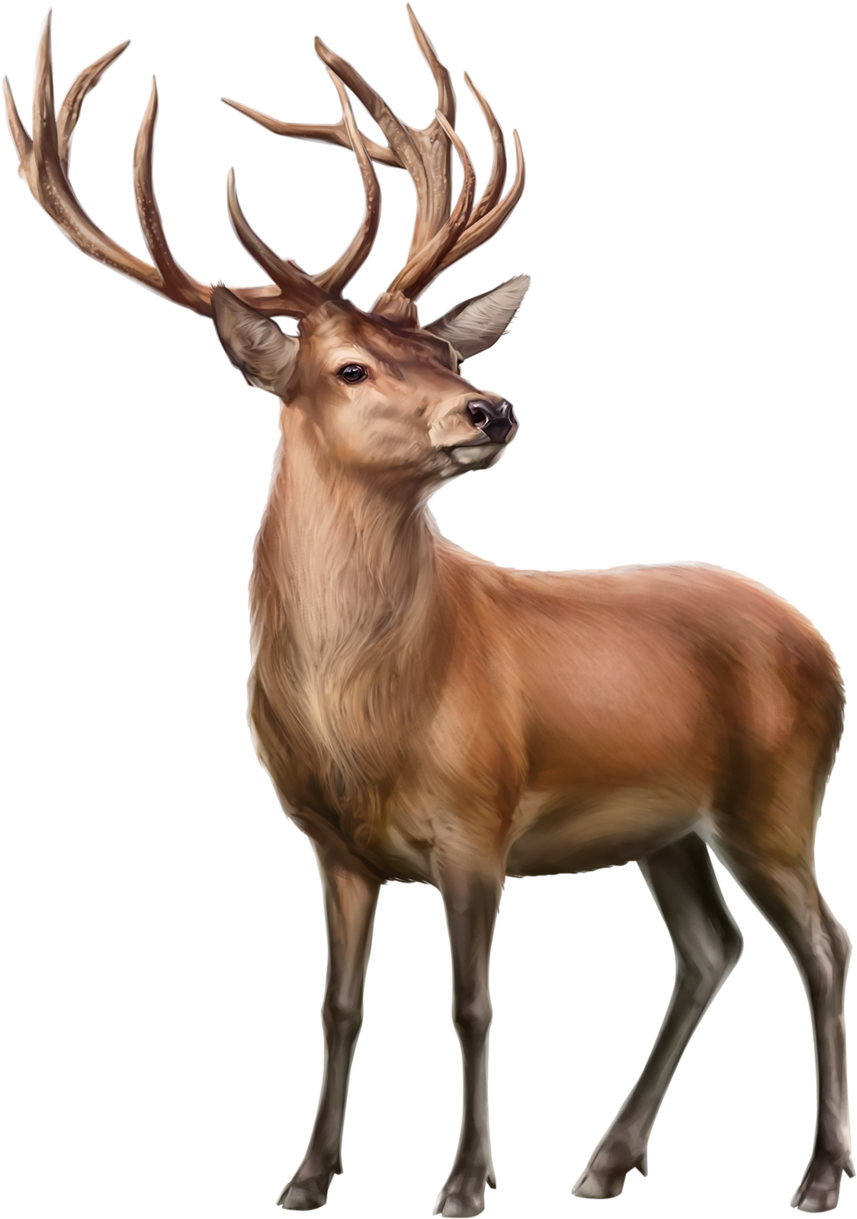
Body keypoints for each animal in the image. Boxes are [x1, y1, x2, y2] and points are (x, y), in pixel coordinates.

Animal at [5, 6, 851, 1216]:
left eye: (448, 350)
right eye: (351, 369)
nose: (489, 407)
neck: (365, 715)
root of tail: (815, 639)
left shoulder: (477, 818)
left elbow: (471, 1003)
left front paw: (463, 1180)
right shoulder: (330, 842)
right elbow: (338, 1005)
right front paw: (308, 1175)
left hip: (776, 793)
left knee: (822, 943)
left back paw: (818, 1172)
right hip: (669, 825)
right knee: (709, 947)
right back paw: (606, 1161)